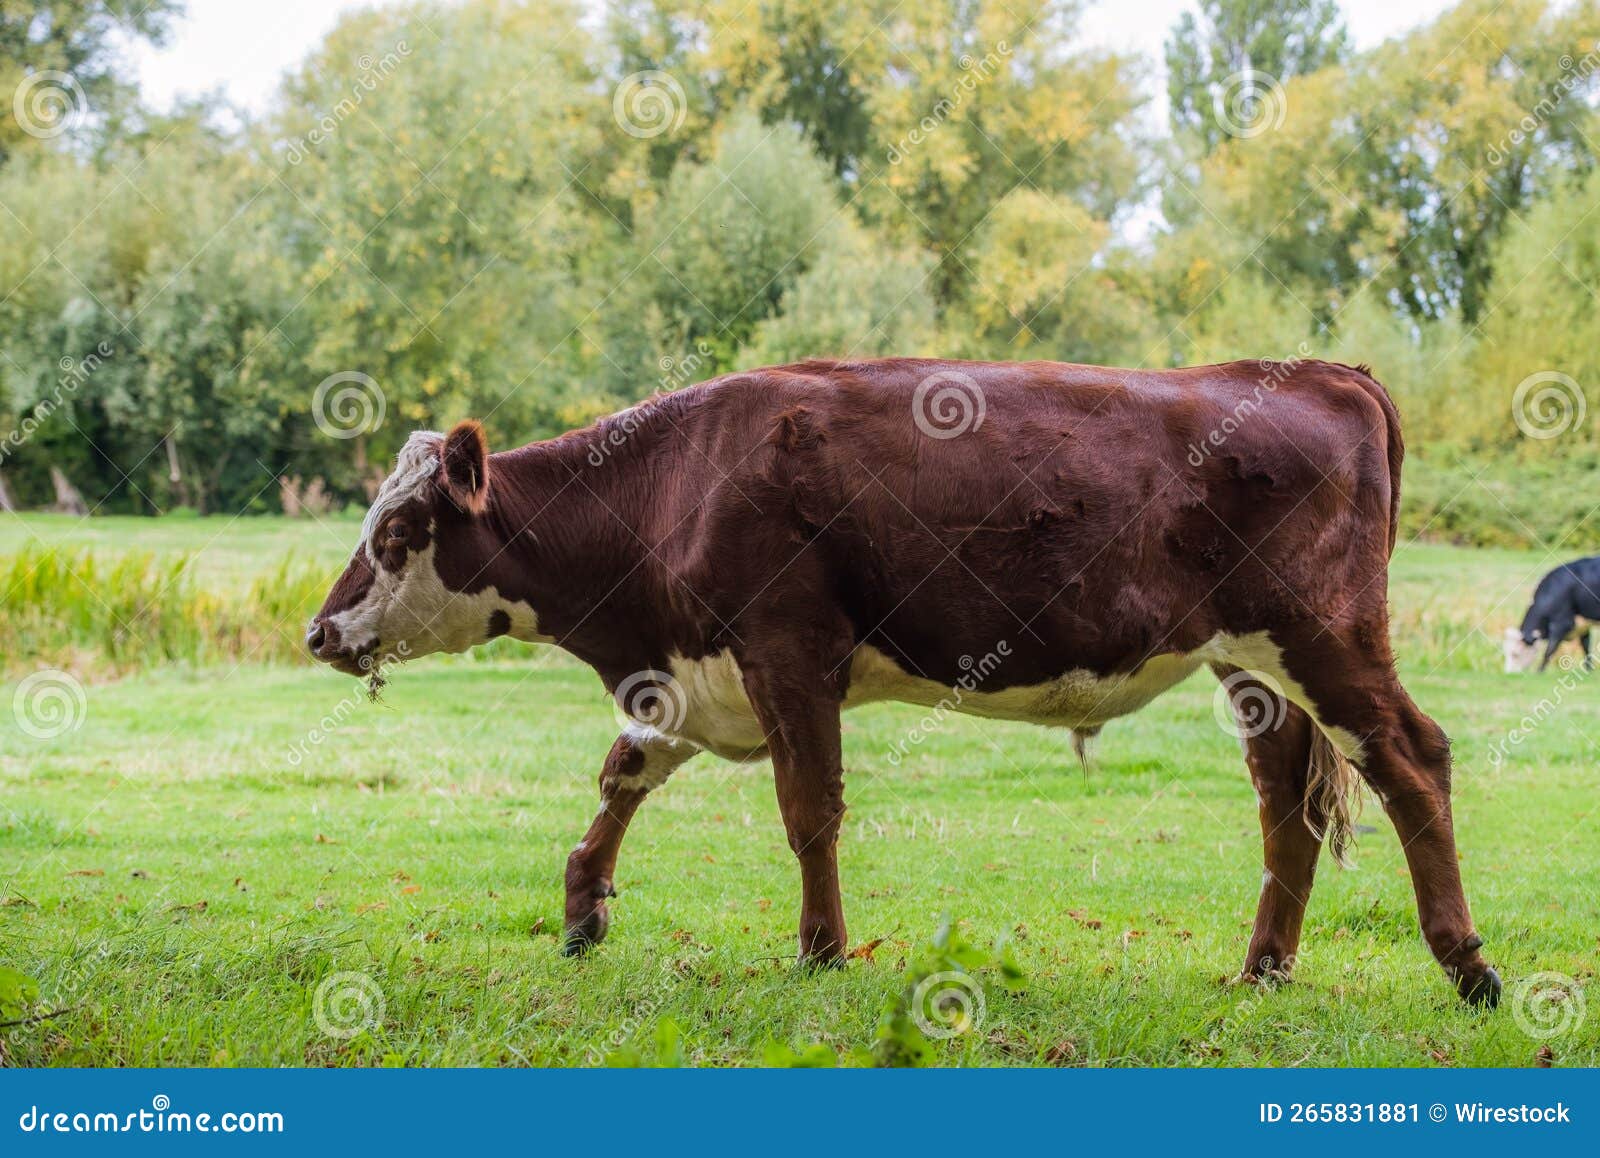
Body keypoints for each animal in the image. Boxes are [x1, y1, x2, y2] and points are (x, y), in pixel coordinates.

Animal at [307, 357, 1500, 1007]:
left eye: (398, 532)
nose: (319, 631)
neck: (673, 486)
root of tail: (1312, 372)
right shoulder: (690, 675)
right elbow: (620, 777)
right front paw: (581, 907)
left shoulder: (788, 652)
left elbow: (809, 813)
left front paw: (822, 952)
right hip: (1253, 667)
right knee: (1284, 802)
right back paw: (1261, 970)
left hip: (1329, 639)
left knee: (1412, 758)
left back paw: (1467, 967)